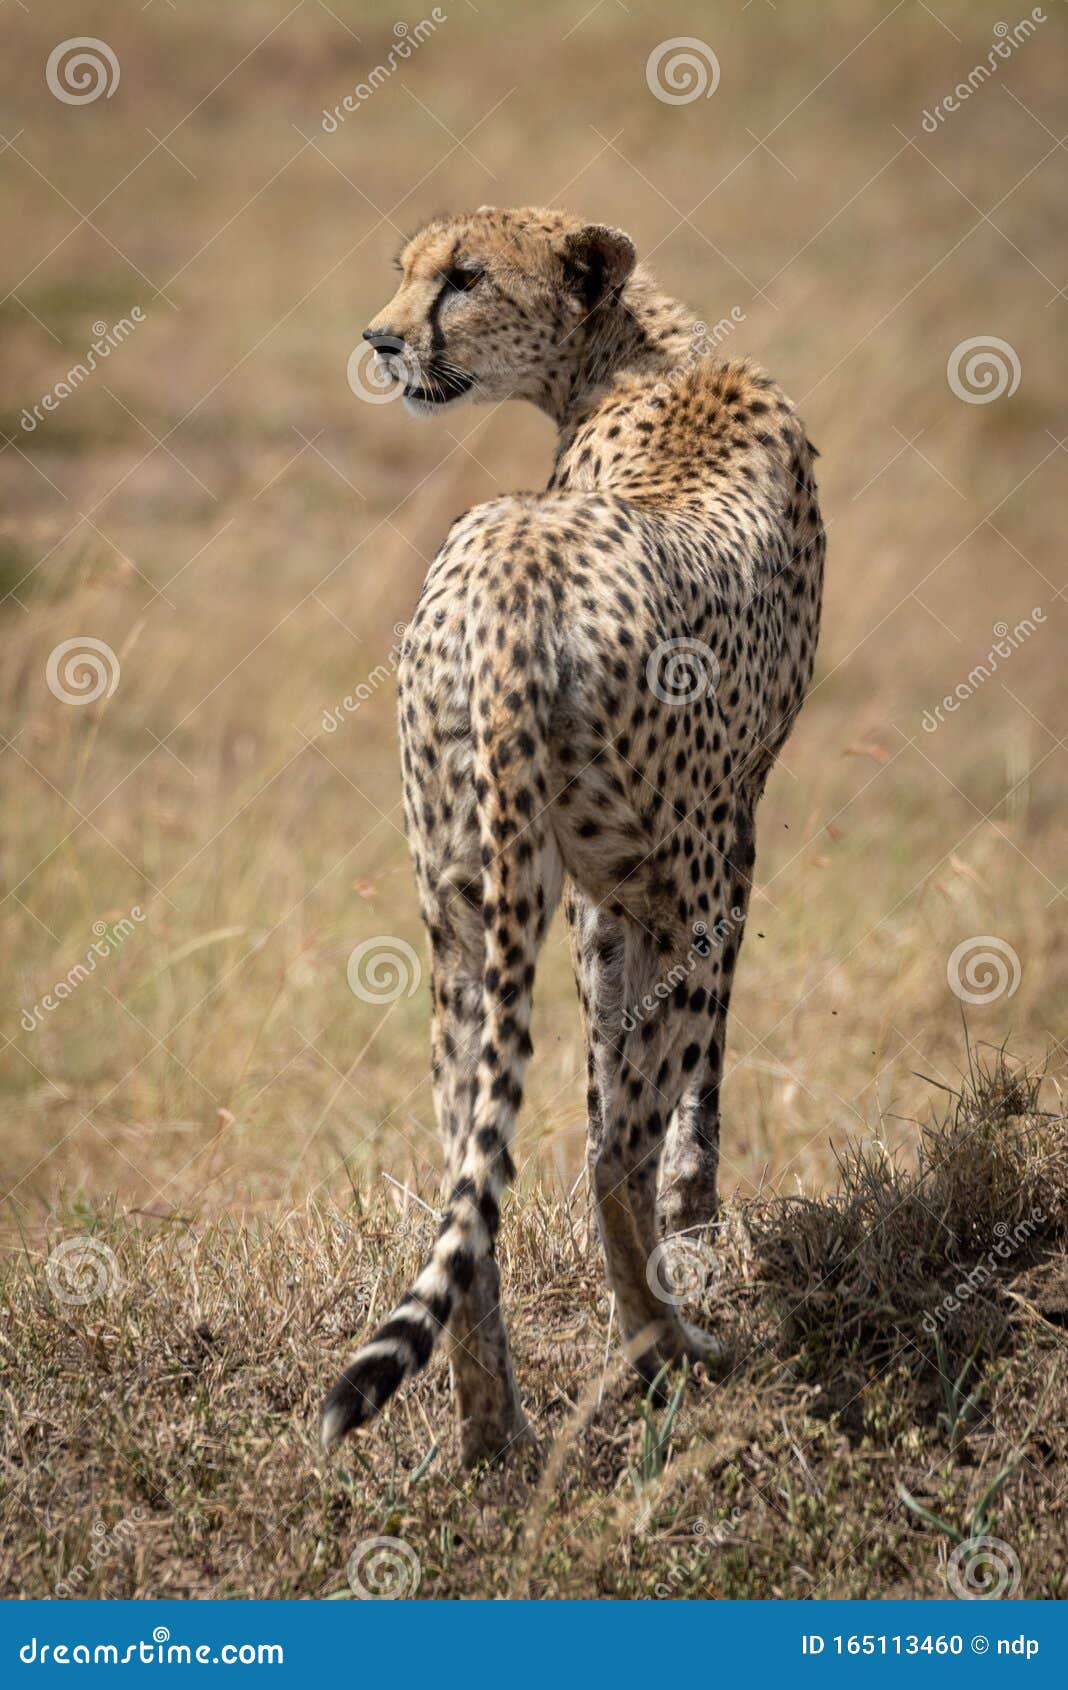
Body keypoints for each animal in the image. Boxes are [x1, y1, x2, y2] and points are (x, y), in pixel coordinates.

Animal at [321, 205, 825, 1466]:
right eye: (413, 272)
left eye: (460, 276)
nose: (381, 339)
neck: (645, 354)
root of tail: (511, 582)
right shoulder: (715, 850)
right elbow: (677, 1091)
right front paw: (700, 1224)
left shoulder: (590, 897)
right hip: (678, 892)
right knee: (609, 1158)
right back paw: (669, 1348)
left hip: (460, 917)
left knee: (469, 1176)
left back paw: (495, 1434)